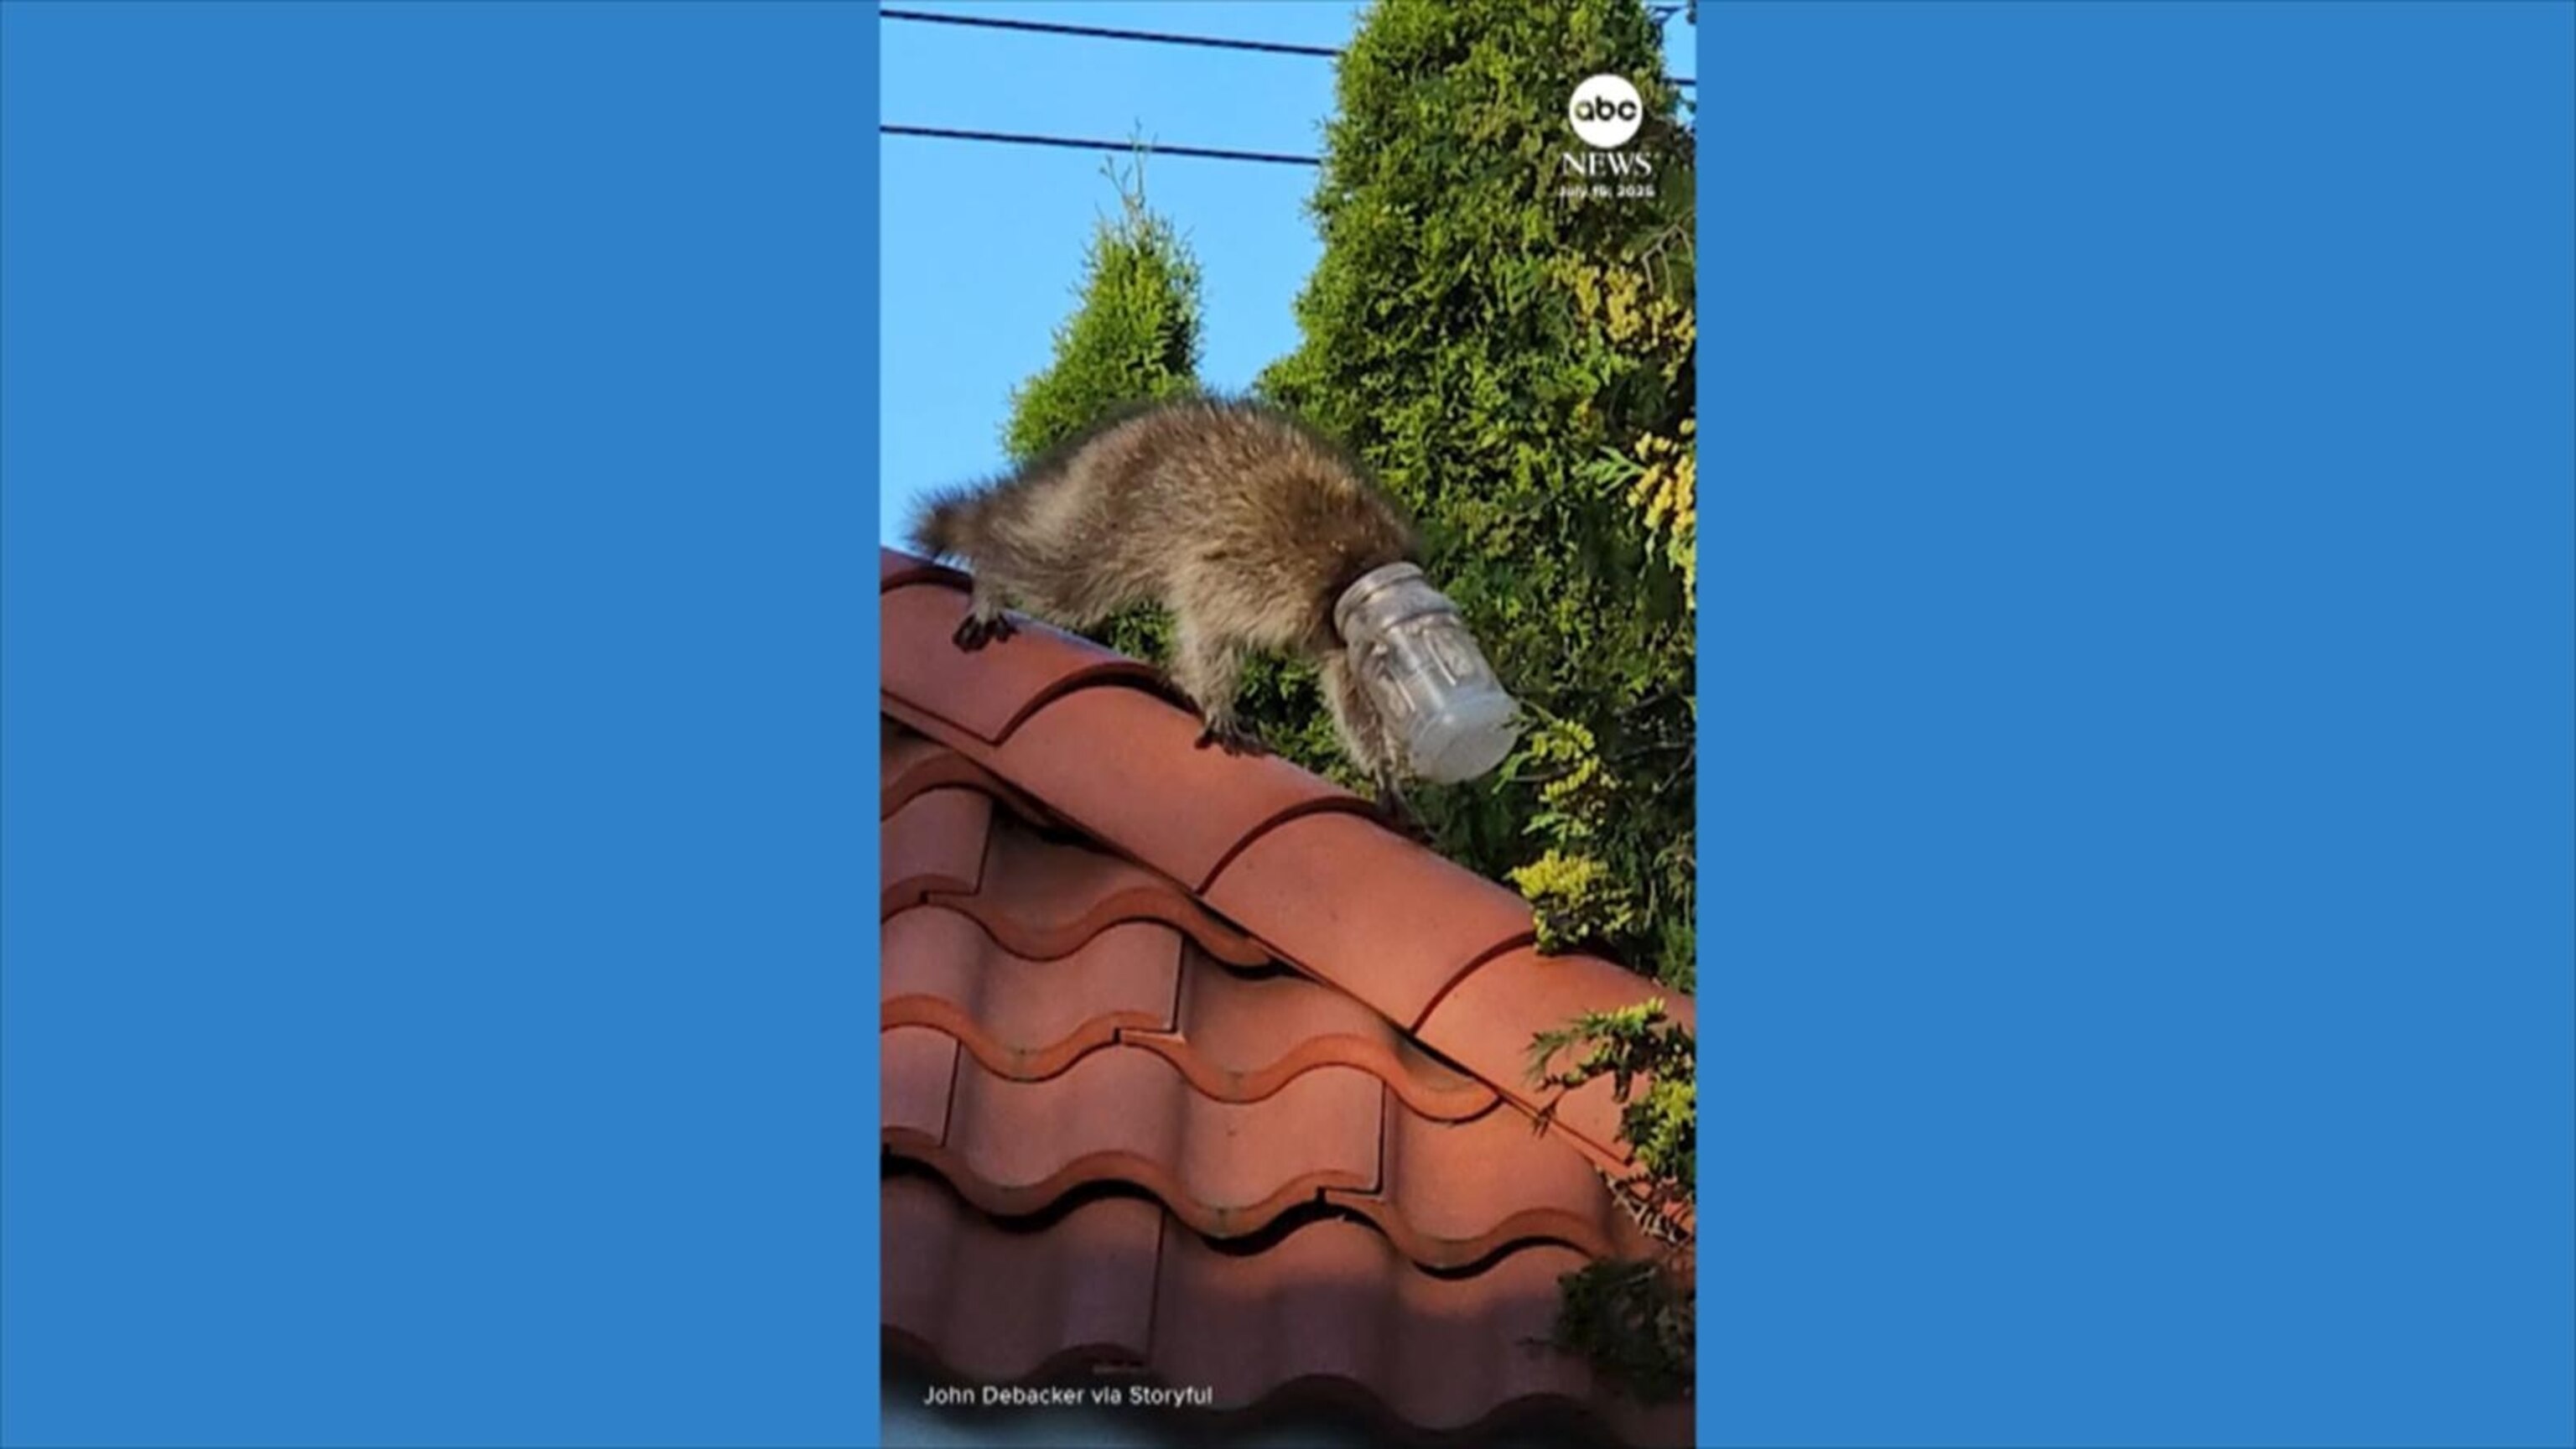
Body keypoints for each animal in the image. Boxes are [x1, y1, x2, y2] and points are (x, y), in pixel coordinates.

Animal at [907, 397, 1426, 824]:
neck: (1370, 569)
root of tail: (1112, 437)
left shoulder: (1344, 640)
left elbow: (1353, 695)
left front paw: (1383, 767)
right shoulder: (1269, 576)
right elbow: (1207, 617)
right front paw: (1215, 699)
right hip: (1117, 509)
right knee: (1064, 575)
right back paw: (991, 573)